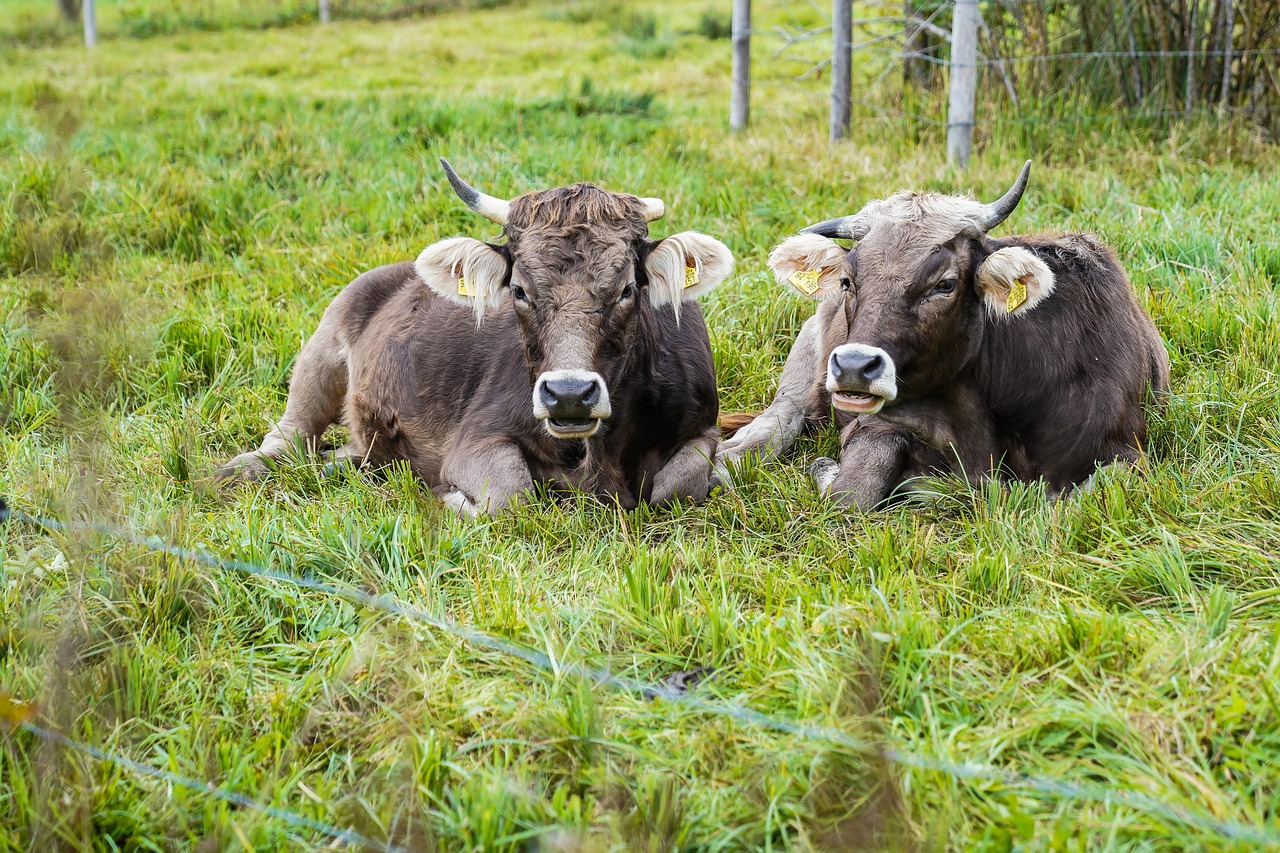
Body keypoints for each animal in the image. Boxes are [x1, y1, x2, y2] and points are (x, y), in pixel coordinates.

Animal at [215, 159, 734, 515]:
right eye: (519, 289)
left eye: (627, 287)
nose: (569, 394)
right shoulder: (475, 438)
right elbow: (511, 494)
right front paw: (446, 497)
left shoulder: (703, 429)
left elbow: (679, 486)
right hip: (321, 352)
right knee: (289, 436)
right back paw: (238, 471)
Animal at [713, 161, 1170, 509]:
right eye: (847, 281)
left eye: (944, 284)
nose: (854, 367)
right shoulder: (875, 425)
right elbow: (852, 494)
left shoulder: (1126, 454)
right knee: (774, 425)